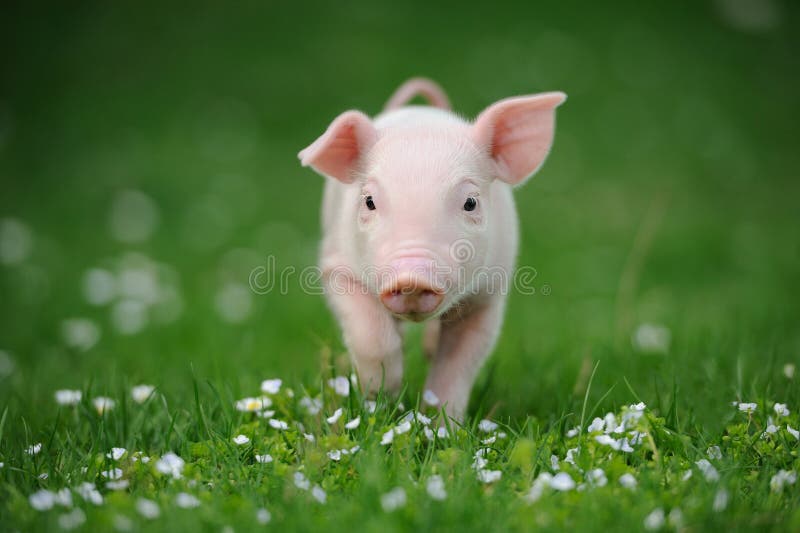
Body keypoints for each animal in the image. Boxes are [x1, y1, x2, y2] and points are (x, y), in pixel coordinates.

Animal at [299, 78, 566, 420]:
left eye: (470, 202)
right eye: (369, 201)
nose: (412, 278)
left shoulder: (489, 291)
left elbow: (459, 362)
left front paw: (442, 426)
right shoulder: (337, 267)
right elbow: (371, 336)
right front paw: (381, 398)